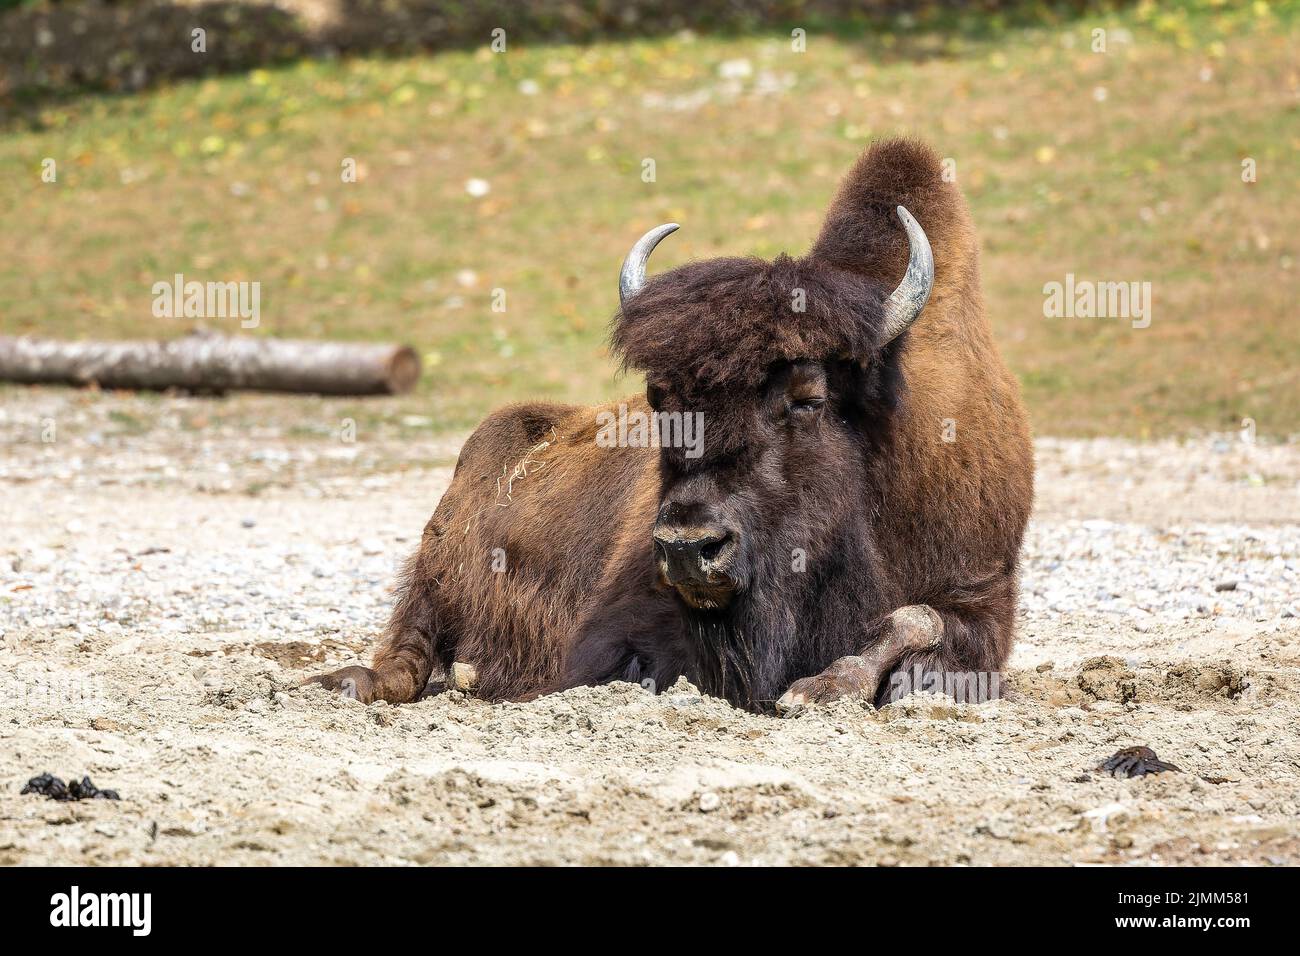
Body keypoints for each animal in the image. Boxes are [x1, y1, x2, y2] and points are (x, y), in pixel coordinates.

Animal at [308, 138, 1034, 714]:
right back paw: (356, 680)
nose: (690, 547)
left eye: (807, 397)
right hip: (435, 567)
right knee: (406, 653)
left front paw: (821, 688)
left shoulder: (982, 594)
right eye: (661, 399)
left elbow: (914, 619)